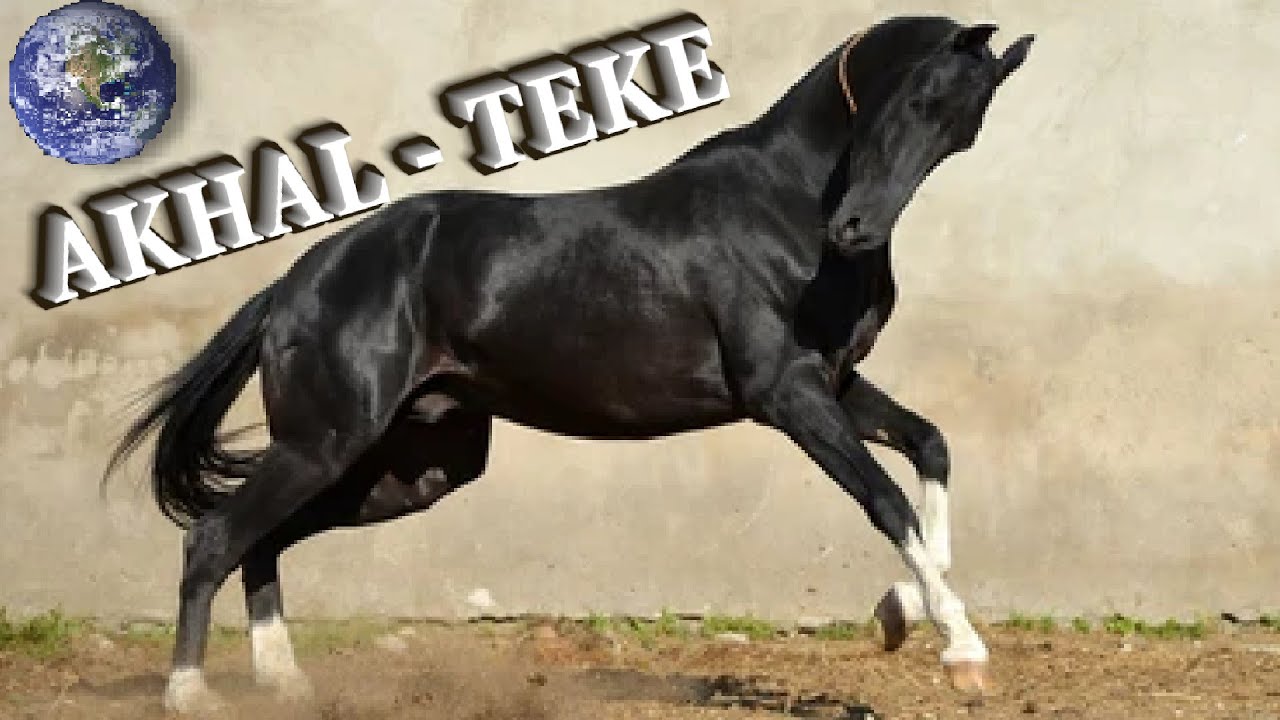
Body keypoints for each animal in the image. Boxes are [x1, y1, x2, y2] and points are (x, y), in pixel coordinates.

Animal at [104, 15, 1034, 715]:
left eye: (961, 123)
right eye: (909, 96)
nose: (855, 228)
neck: (785, 210)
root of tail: (299, 280)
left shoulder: (836, 384)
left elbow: (931, 449)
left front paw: (902, 614)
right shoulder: (786, 395)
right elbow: (885, 500)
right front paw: (962, 651)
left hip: (412, 467)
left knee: (261, 538)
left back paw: (282, 680)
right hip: (328, 442)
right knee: (215, 536)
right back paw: (190, 692)